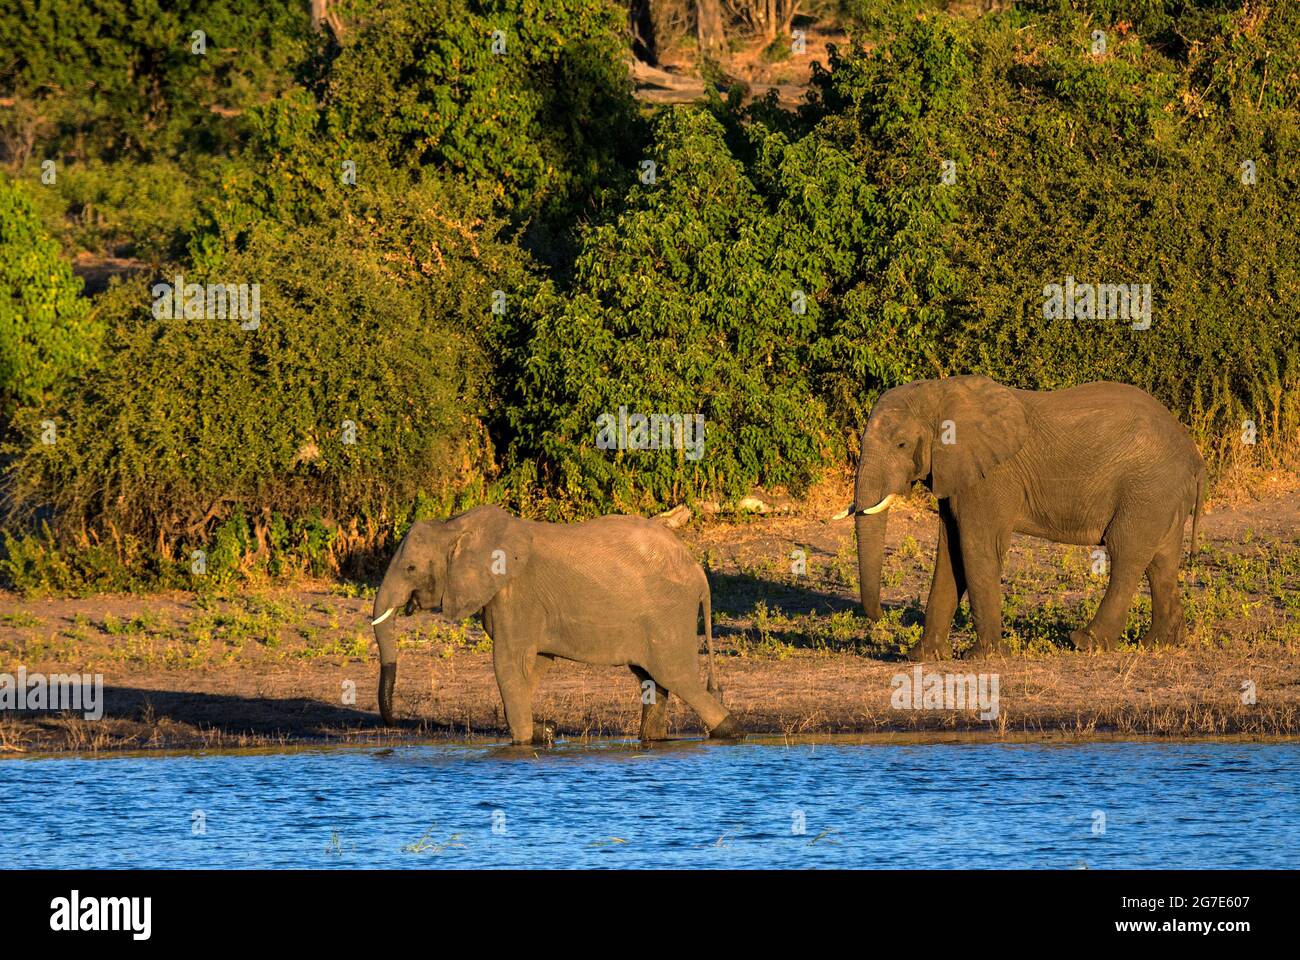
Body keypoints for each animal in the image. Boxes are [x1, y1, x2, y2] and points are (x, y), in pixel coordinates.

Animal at [370, 504, 742, 743]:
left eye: (411, 569)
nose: (392, 721)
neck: (456, 527)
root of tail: (699, 574)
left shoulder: (516, 594)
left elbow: (509, 663)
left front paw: (523, 741)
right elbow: (532, 666)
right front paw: (543, 732)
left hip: (667, 612)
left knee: (674, 676)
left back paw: (729, 731)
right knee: (651, 678)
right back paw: (654, 739)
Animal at [851, 375, 1206, 659]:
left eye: (901, 444)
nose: (880, 615)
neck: (940, 392)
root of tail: (1193, 453)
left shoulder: (989, 478)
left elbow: (976, 550)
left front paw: (984, 657)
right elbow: (950, 554)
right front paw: (923, 658)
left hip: (1147, 488)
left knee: (1127, 555)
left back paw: (1085, 643)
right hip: (1162, 495)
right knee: (1161, 561)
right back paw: (1160, 643)